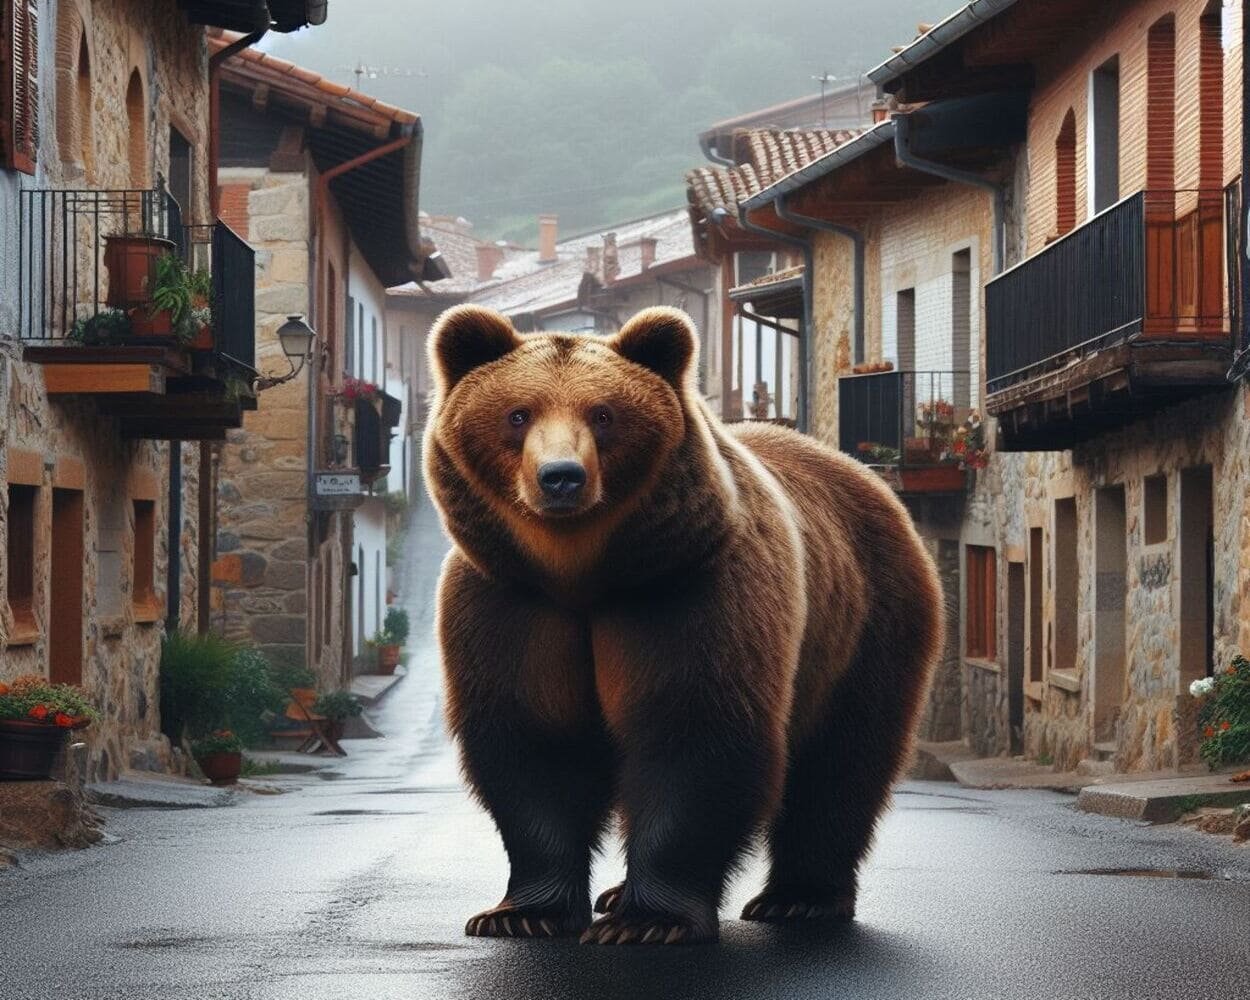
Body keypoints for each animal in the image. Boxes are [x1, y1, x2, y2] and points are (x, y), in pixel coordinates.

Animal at [424, 304, 942, 946]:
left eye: (604, 414)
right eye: (518, 414)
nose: (561, 477)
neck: (581, 572)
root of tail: (868, 479)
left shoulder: (689, 591)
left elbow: (694, 731)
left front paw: (647, 922)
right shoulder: (513, 603)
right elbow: (533, 739)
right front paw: (520, 913)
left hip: (867, 622)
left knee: (842, 760)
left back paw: (800, 898)